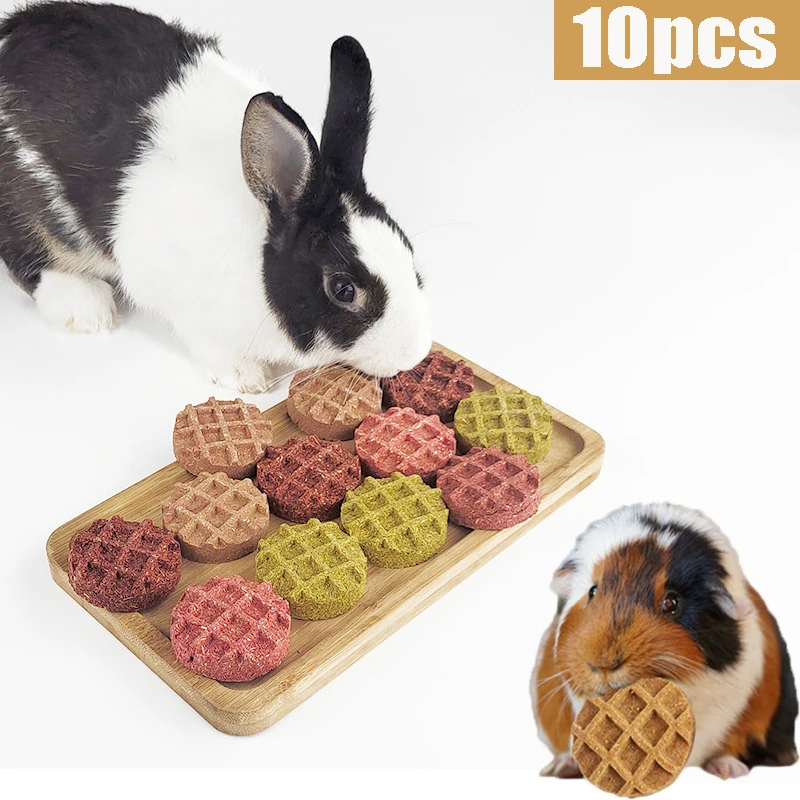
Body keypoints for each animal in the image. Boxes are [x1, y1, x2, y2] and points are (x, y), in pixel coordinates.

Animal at [0, 2, 432, 392]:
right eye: (343, 290)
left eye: (409, 254)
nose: (411, 355)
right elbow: (213, 346)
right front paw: (247, 378)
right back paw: (87, 309)